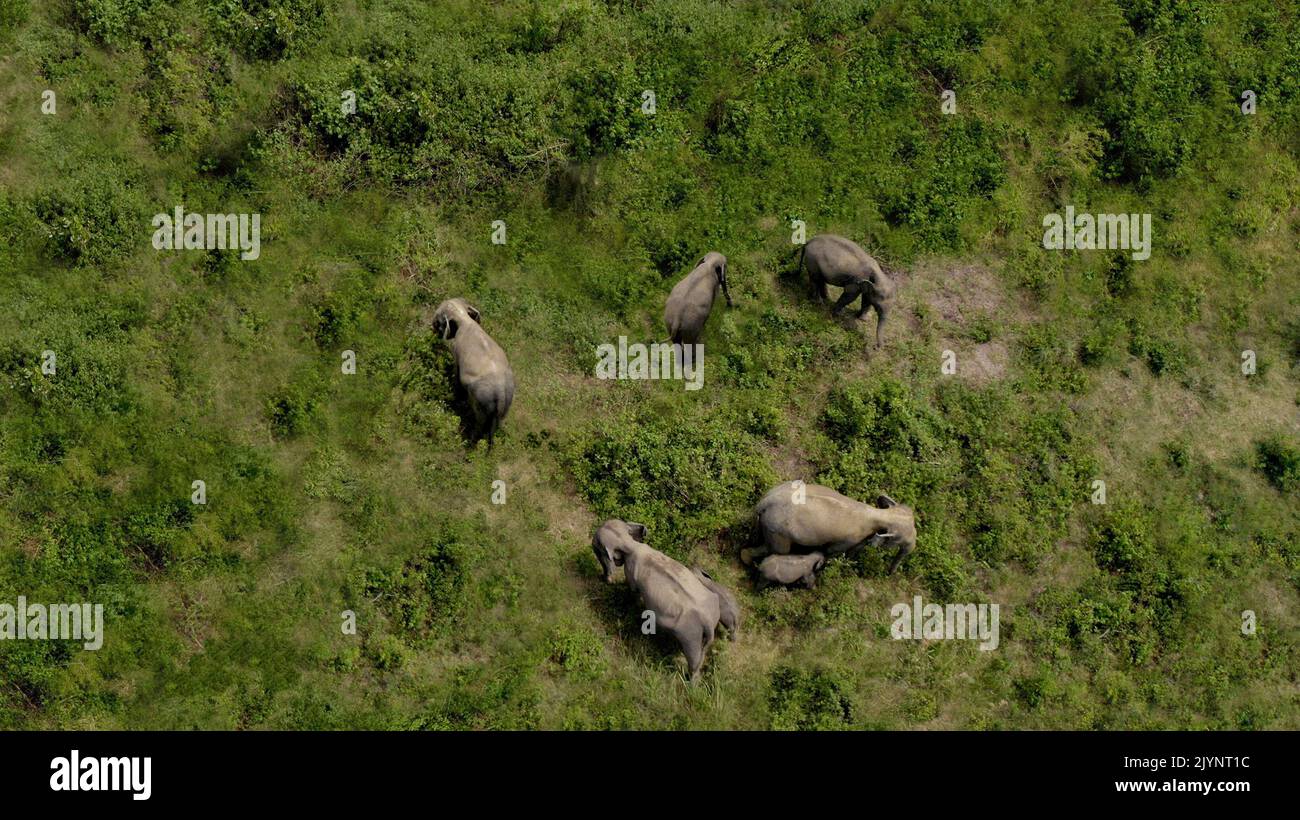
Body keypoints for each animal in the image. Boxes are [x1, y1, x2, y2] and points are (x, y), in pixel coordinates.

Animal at [433, 298, 515, 450]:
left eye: (438, 318)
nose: (431, 328)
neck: (465, 319)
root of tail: (500, 393)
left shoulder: (457, 354)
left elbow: (456, 373)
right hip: (506, 406)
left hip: (481, 401)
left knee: (479, 422)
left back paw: (469, 443)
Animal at [592, 519, 729, 680]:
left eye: (597, 545)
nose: (605, 578)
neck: (633, 544)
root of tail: (708, 622)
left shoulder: (631, 575)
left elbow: (633, 593)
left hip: (690, 636)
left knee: (693, 659)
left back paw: (690, 682)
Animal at [745, 481, 916, 573]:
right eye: (901, 541)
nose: (889, 573)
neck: (879, 513)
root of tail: (765, 501)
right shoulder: (849, 538)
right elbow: (831, 551)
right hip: (777, 529)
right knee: (778, 550)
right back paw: (747, 560)